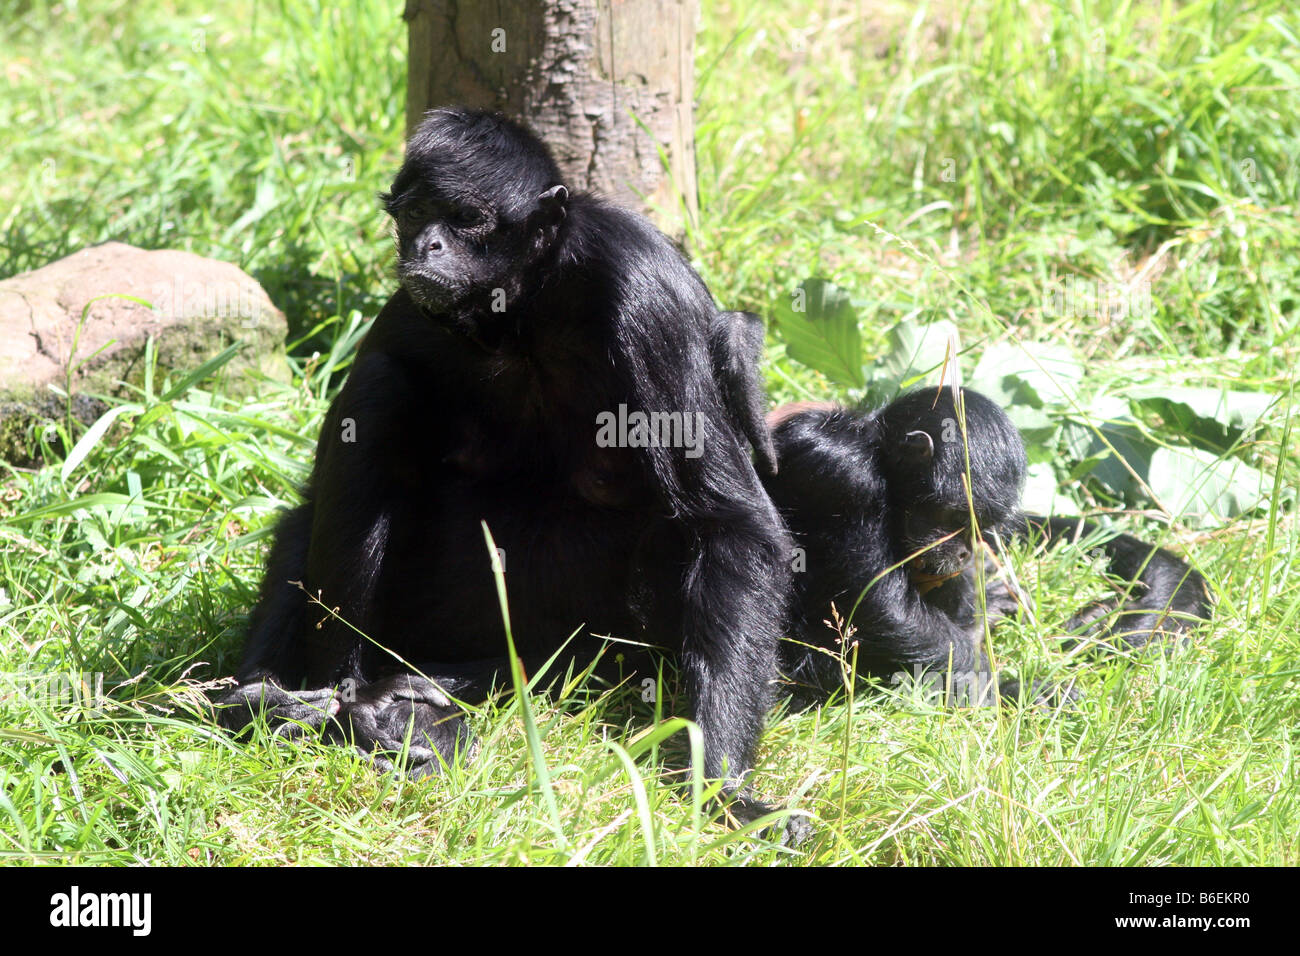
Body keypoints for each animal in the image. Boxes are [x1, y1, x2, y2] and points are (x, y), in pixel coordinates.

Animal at [216, 108, 800, 836]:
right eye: (417, 215)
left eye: (467, 219)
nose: (428, 245)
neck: (523, 310)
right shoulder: (410, 310)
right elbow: (307, 504)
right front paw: (286, 701)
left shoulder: (642, 291)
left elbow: (729, 523)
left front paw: (721, 789)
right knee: (381, 389)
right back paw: (356, 699)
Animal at [761, 387, 1211, 703]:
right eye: (957, 520)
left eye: (979, 529)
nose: (964, 551)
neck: (874, 452)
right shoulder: (841, 473)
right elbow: (878, 606)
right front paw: (1017, 692)